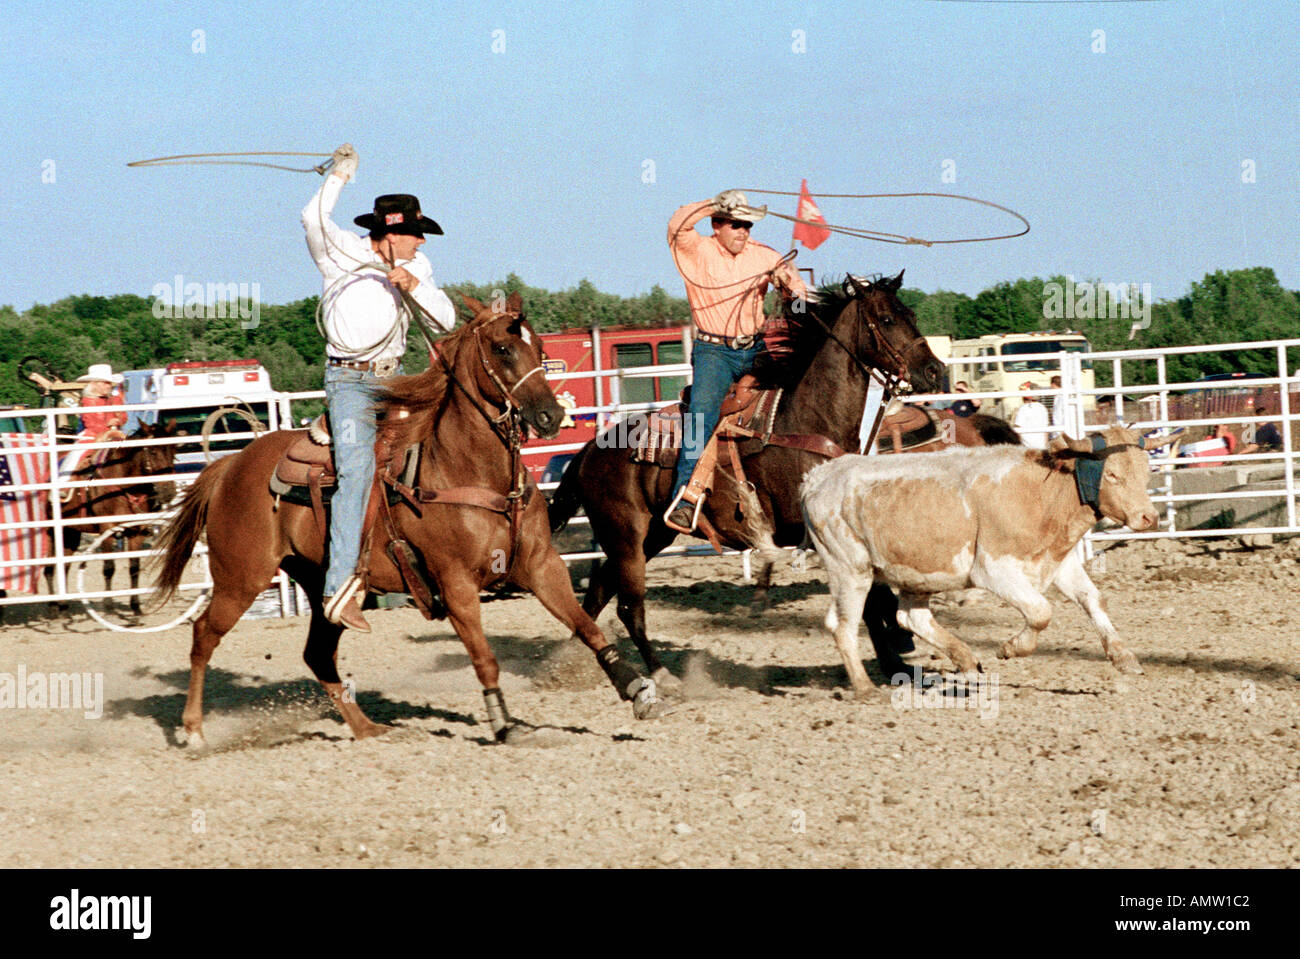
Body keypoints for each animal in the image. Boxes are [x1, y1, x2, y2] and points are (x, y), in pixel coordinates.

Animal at [55, 419, 181, 615]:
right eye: (152, 451)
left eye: (173, 450)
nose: (168, 491)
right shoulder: (107, 530)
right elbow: (109, 568)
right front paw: (108, 604)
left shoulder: (137, 532)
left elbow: (134, 568)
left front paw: (136, 606)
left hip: (71, 532)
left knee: (64, 565)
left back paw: (62, 606)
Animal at [152, 293, 664, 749]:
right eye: (502, 348)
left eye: (540, 349)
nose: (550, 415)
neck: (467, 469)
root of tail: (229, 466)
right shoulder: (455, 584)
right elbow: (485, 659)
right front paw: (503, 724)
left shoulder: (542, 566)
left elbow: (587, 626)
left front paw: (638, 689)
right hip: (241, 576)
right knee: (203, 637)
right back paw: (194, 731)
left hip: (324, 588)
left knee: (317, 654)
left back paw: (366, 728)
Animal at [548, 271, 951, 691]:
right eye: (887, 319)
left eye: (911, 315)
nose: (934, 371)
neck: (805, 420)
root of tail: (589, 451)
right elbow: (870, 599)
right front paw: (894, 657)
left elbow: (878, 592)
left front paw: (898, 651)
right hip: (625, 537)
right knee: (629, 606)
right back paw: (661, 674)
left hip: (651, 536)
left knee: (597, 592)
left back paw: (568, 663)